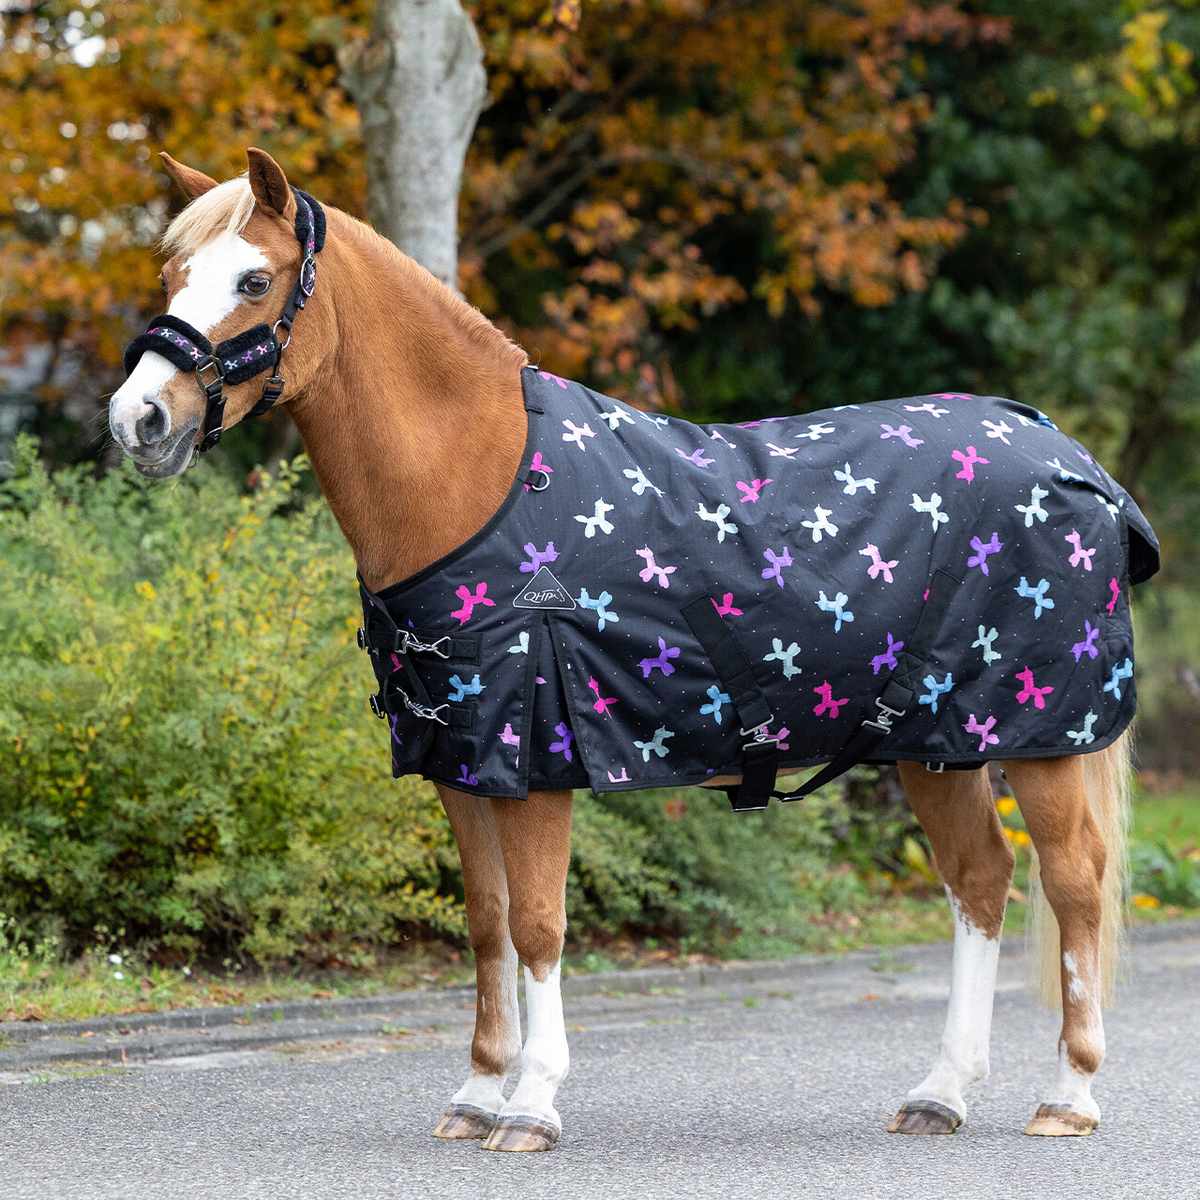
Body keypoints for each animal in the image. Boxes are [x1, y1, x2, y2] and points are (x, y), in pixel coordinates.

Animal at [109, 148, 1152, 1152]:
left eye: (254, 279)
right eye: (171, 273)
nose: (138, 419)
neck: (480, 479)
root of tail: (1067, 456)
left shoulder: (537, 757)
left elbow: (538, 926)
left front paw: (531, 1106)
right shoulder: (462, 759)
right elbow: (486, 925)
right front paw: (475, 1095)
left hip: (1041, 737)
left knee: (1074, 883)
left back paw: (1069, 1096)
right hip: (936, 742)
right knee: (981, 882)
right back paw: (940, 1095)